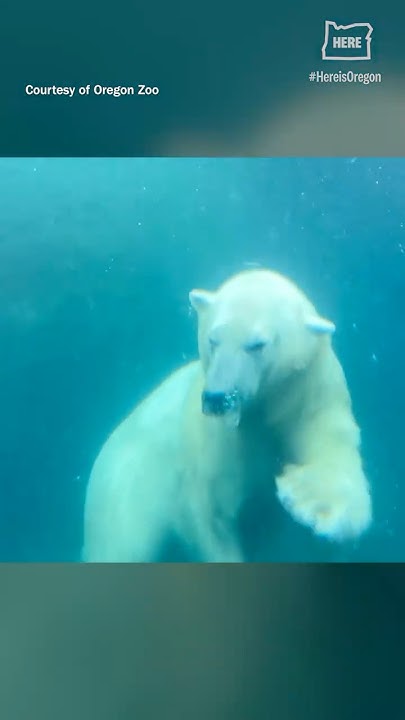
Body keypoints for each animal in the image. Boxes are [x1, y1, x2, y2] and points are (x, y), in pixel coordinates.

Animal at [83, 268, 372, 562]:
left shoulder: (311, 395)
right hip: (126, 488)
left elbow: (333, 452)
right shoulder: (214, 442)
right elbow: (210, 510)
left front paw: (313, 504)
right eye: (213, 339)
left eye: (257, 344)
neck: (264, 409)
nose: (216, 397)